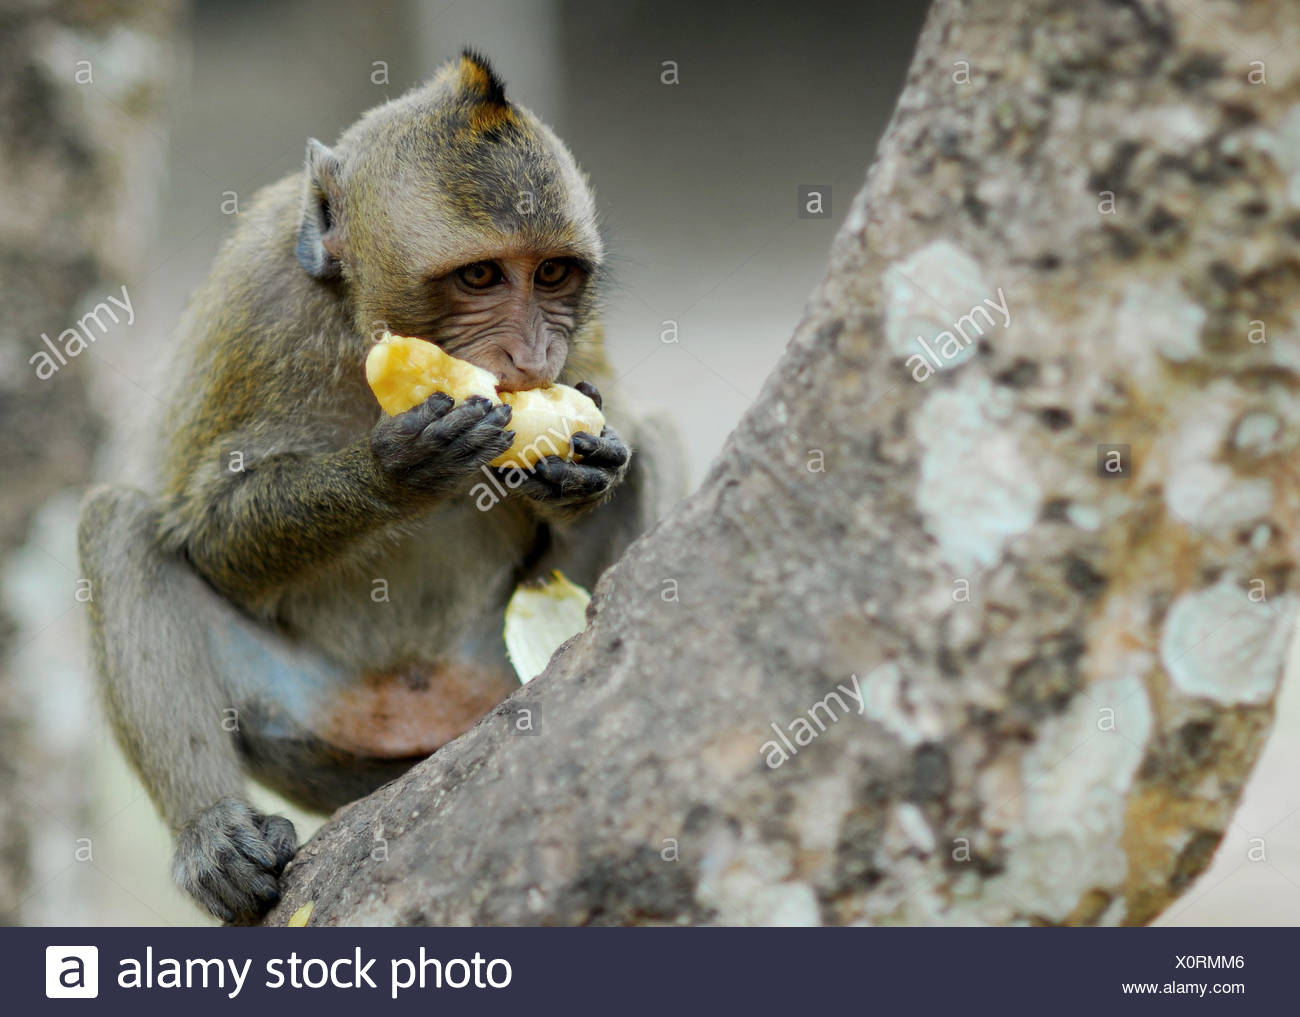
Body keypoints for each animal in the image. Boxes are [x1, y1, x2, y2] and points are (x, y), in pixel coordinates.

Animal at [77, 51, 679, 924]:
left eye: (553, 272)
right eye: (480, 275)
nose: (535, 357)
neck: (362, 322)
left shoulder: (585, 333)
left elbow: (625, 436)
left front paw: (584, 469)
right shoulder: (254, 305)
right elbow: (209, 534)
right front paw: (398, 469)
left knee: (658, 441)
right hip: (299, 718)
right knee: (117, 523)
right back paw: (215, 833)